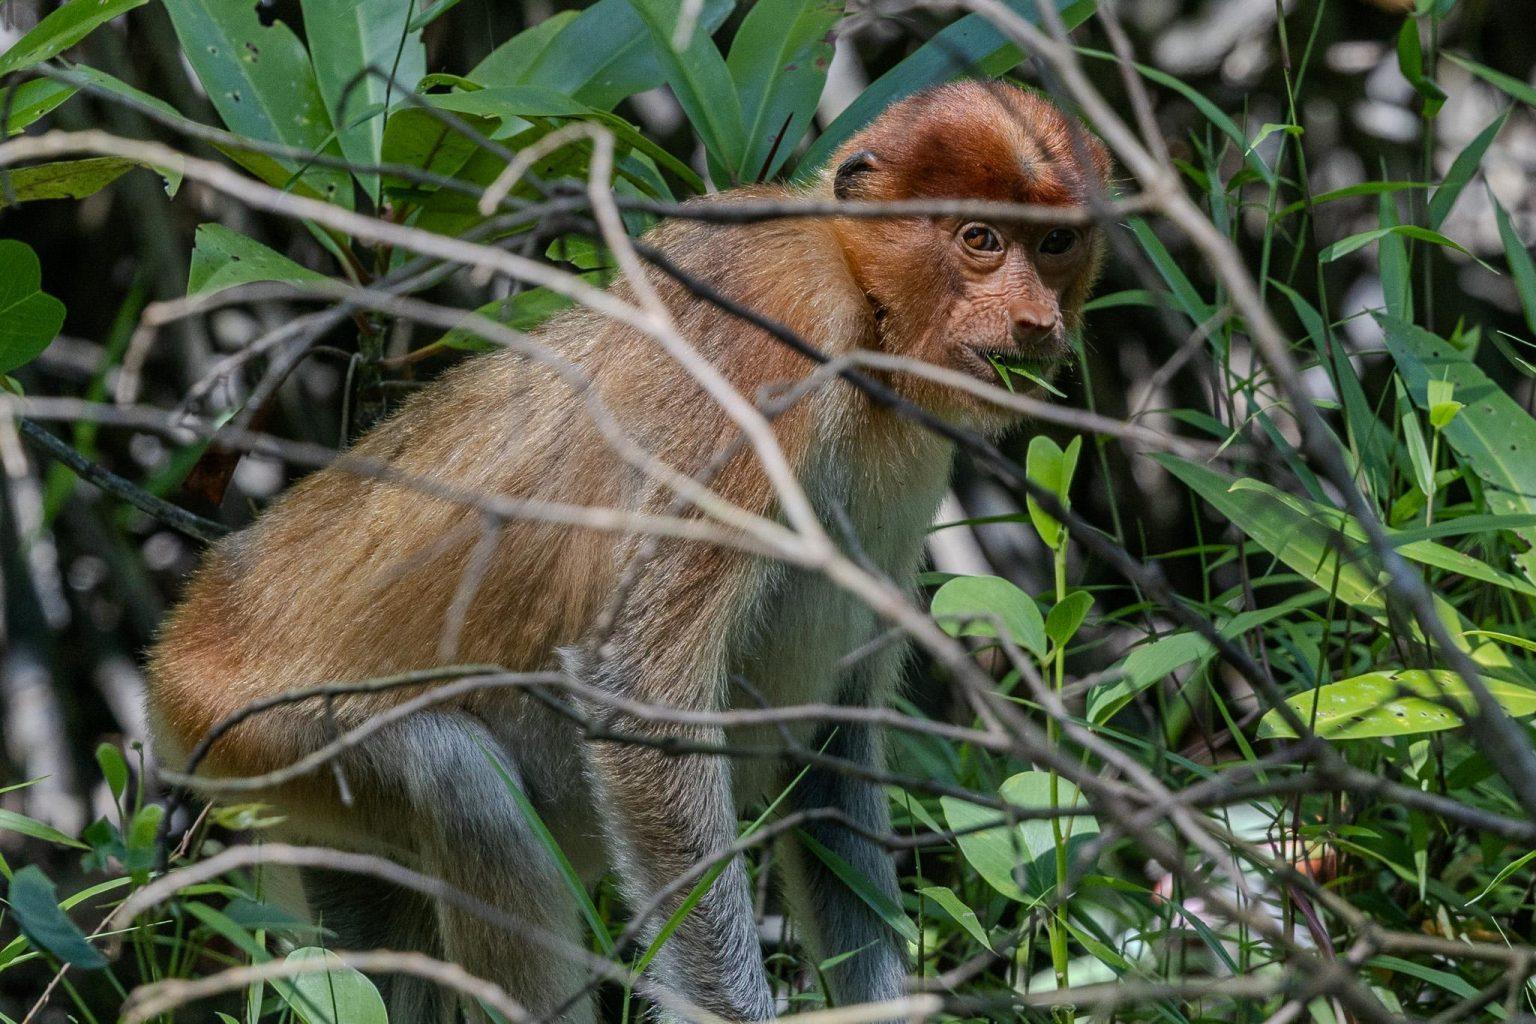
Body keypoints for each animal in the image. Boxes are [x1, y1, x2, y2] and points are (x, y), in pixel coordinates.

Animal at [146, 79, 1111, 1022]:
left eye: (1055, 242)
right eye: (979, 239)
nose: (1036, 322)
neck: (863, 306)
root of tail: (179, 645)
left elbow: (831, 754)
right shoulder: (764, 333)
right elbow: (643, 701)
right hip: (256, 732)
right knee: (459, 782)